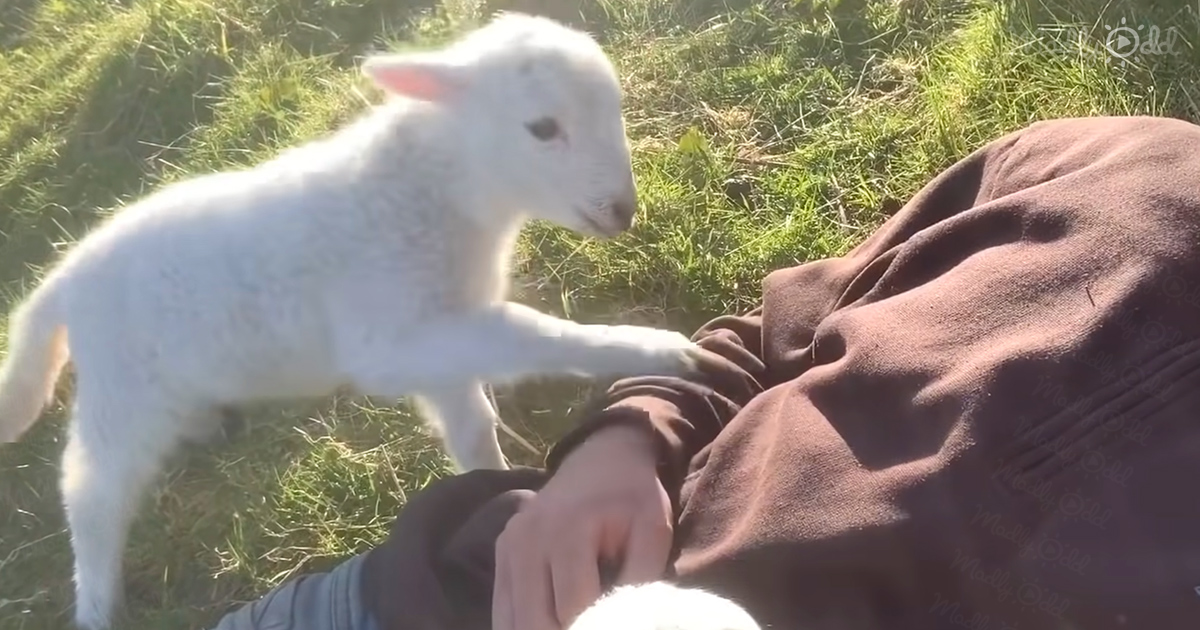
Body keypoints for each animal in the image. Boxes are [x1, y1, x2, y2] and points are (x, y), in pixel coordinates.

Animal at [0, 12, 703, 630]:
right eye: (543, 127)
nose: (622, 211)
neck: (441, 190)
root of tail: (64, 279)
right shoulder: (390, 330)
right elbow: (529, 335)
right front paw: (653, 349)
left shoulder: (439, 335)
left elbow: (473, 422)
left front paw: (491, 479)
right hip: (122, 391)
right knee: (89, 491)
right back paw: (96, 601)